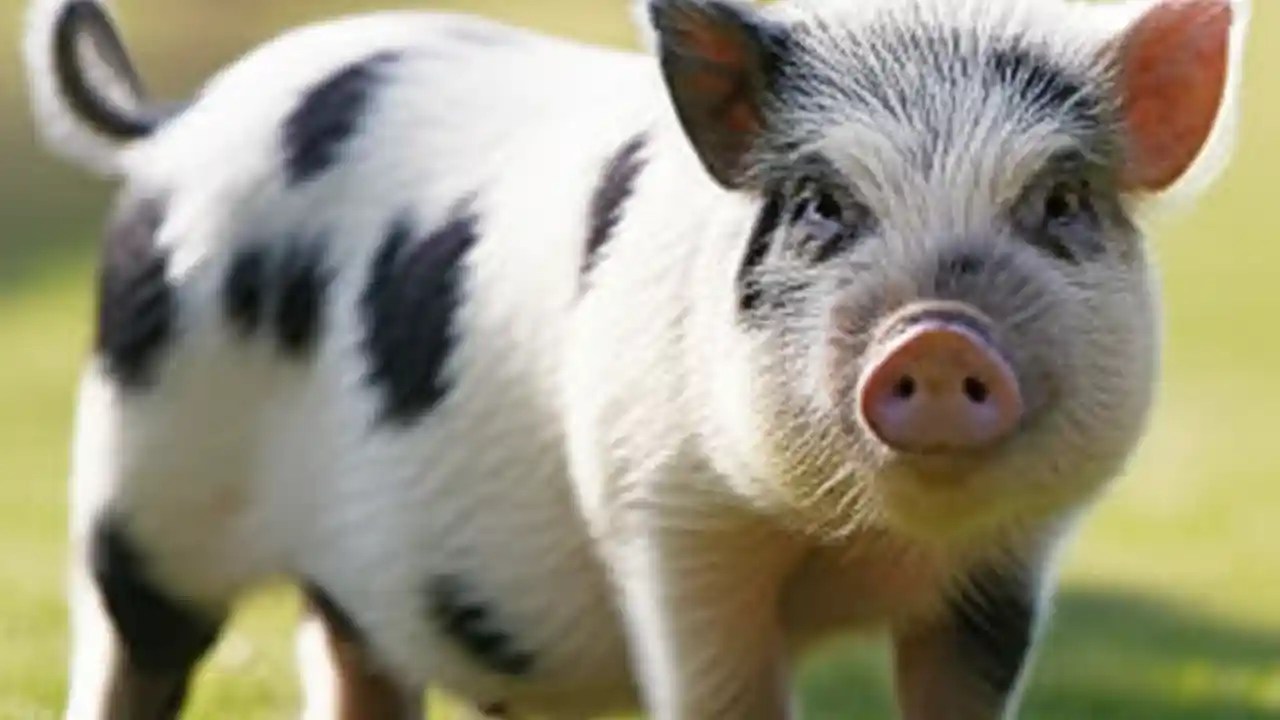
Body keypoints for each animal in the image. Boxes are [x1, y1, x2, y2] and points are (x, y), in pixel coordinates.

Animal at [23, 0, 1249, 718]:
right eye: (820, 203)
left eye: (1060, 201)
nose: (938, 335)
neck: (855, 541)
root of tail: (180, 119)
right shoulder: (671, 519)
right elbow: (717, 690)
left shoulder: (1005, 567)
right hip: (139, 480)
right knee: (133, 648)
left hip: (341, 578)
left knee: (352, 655)